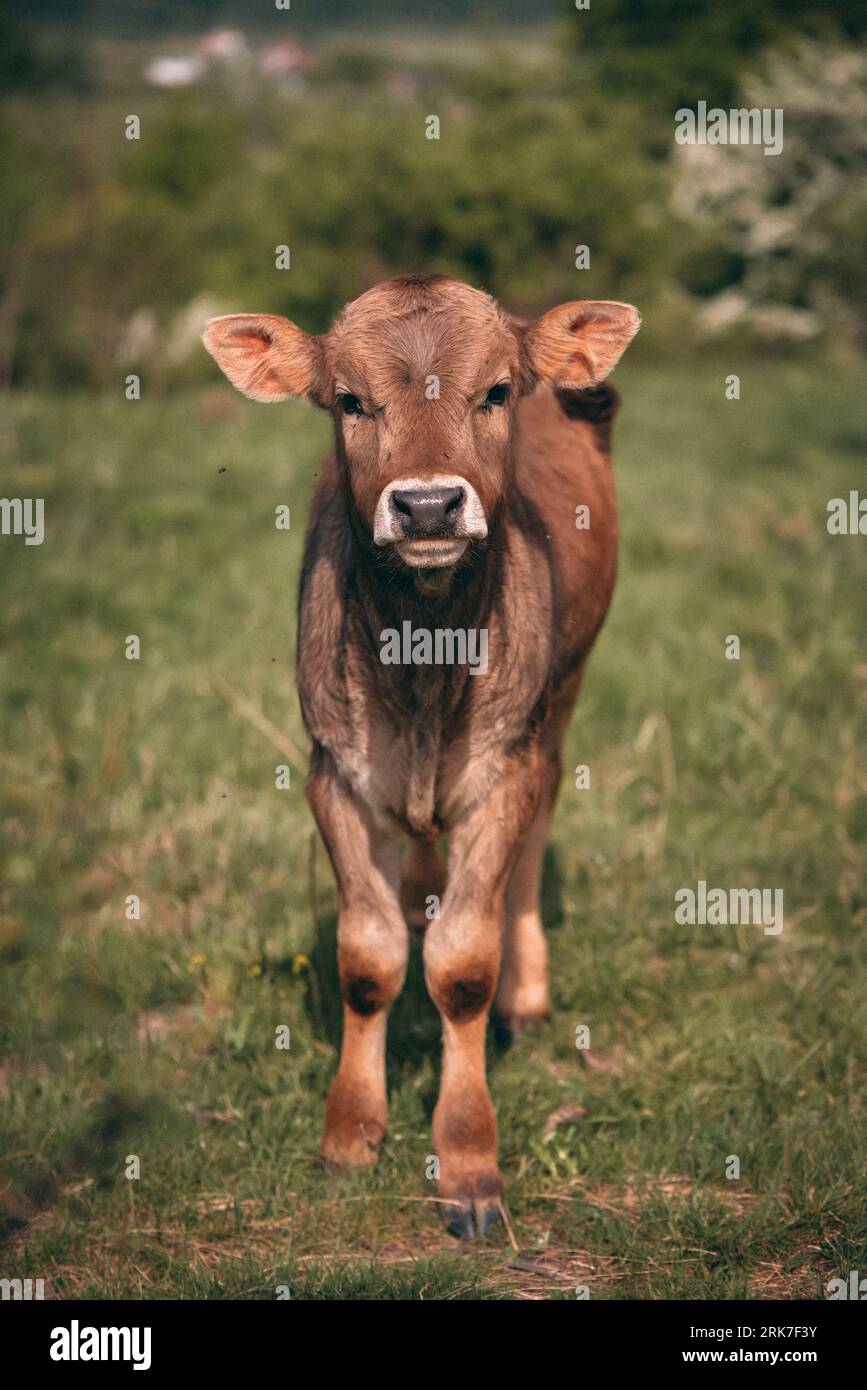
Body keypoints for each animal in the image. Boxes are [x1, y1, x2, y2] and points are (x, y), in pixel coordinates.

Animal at [202, 275, 640, 1238]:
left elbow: (463, 967)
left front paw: (469, 1165)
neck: (424, 669)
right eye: (349, 401)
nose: (430, 505)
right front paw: (347, 1135)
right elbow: (367, 963)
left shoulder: (502, 768)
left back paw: (527, 993)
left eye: (496, 391)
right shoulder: (336, 773)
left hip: (563, 696)